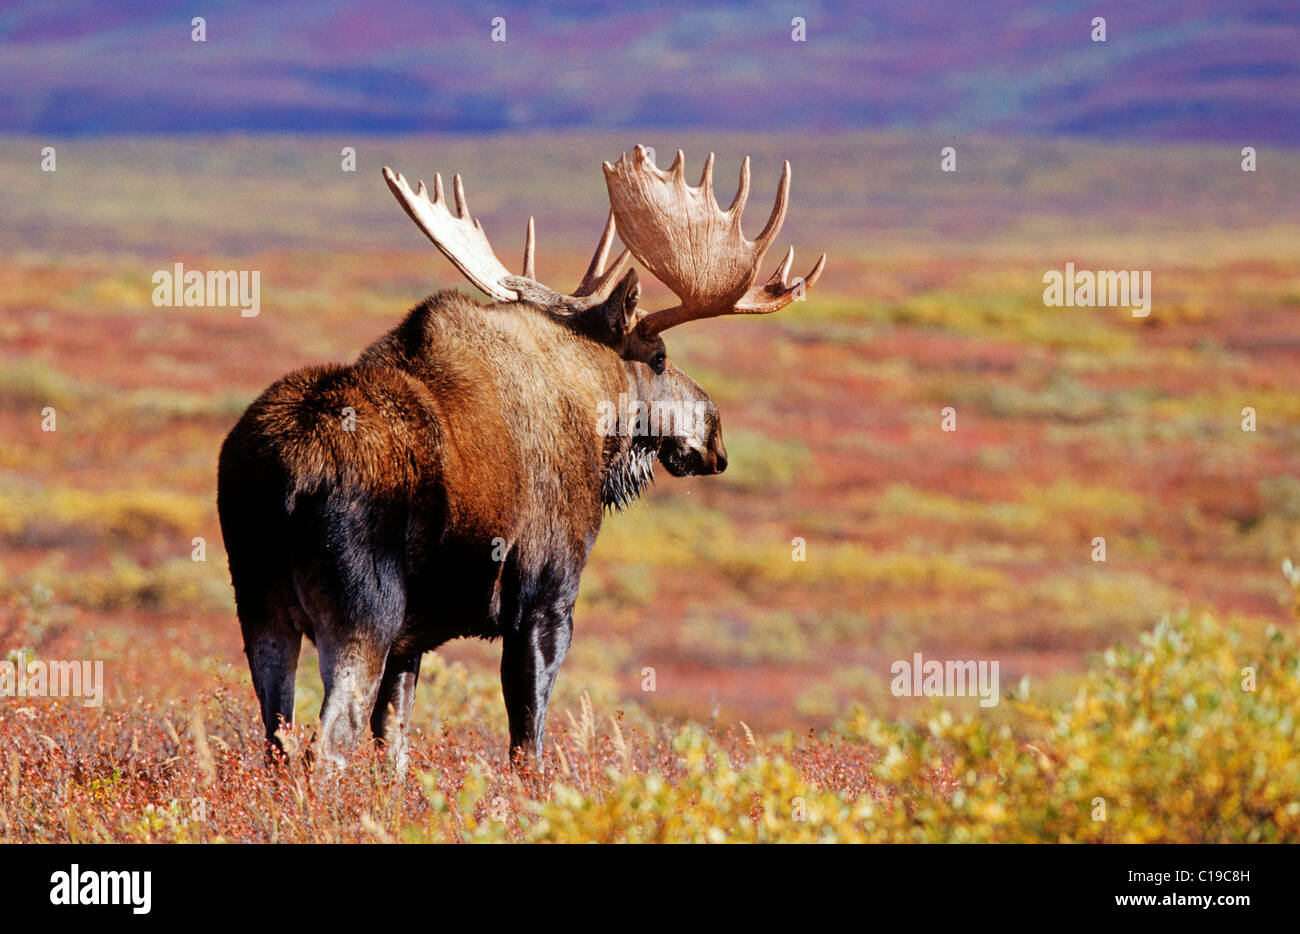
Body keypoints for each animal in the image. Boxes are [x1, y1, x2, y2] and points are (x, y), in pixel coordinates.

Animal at [216, 145, 825, 771]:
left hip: (260, 609)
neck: (594, 424)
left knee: (278, 741)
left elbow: (394, 744)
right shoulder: (546, 598)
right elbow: (527, 744)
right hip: (362, 611)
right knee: (329, 746)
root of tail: (284, 478)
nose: (716, 438)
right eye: (658, 357)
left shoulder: (412, 639)